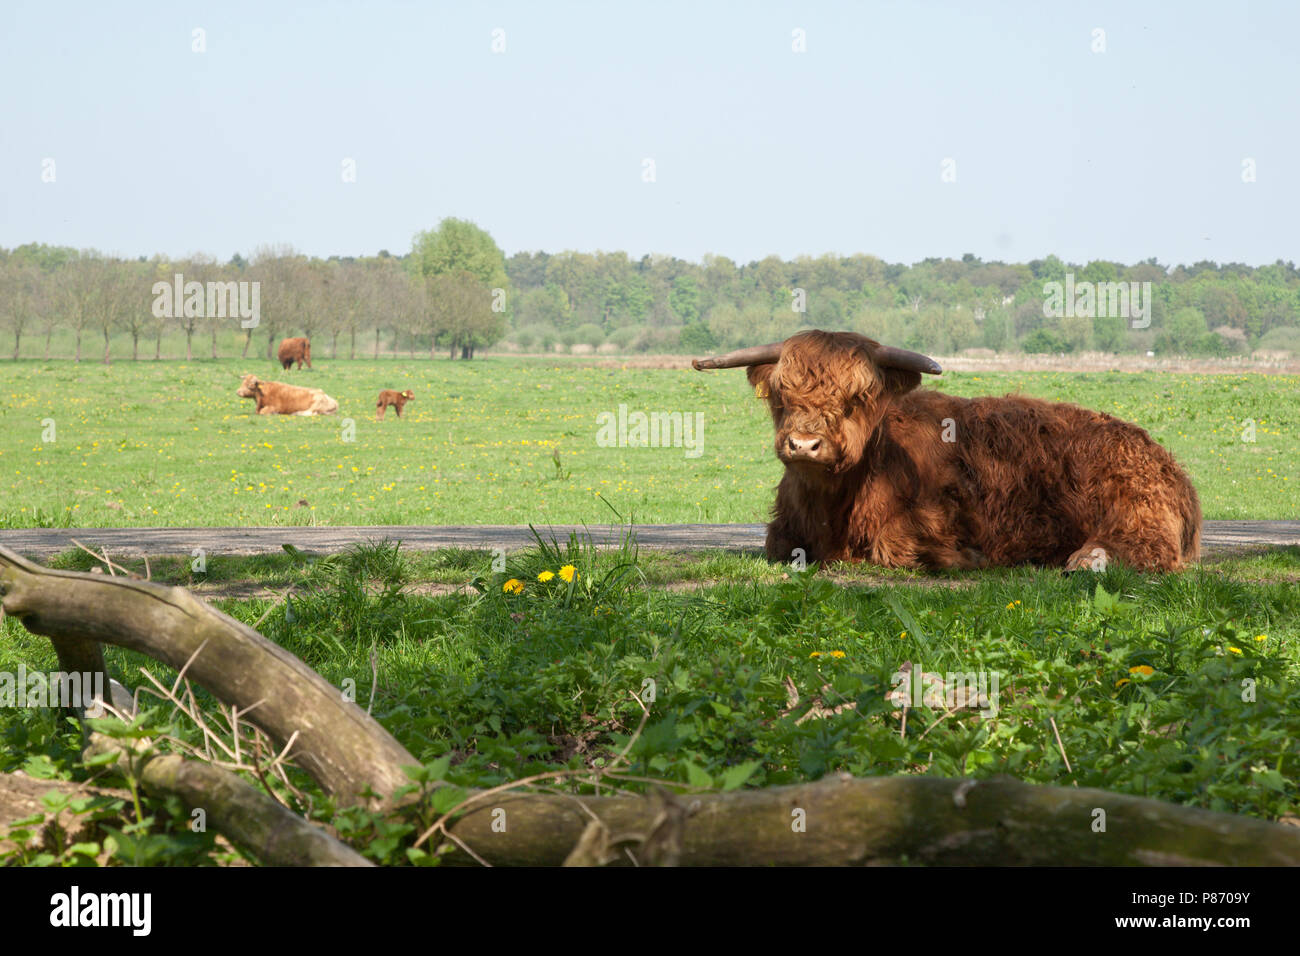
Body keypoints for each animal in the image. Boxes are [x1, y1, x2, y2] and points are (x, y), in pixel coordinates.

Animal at [694, 330, 1201, 573]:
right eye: (782, 395)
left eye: (856, 397)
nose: (803, 443)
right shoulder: (784, 532)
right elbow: (777, 546)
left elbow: (895, 546)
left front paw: (964, 557)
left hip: (1135, 502)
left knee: (1147, 547)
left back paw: (1089, 560)